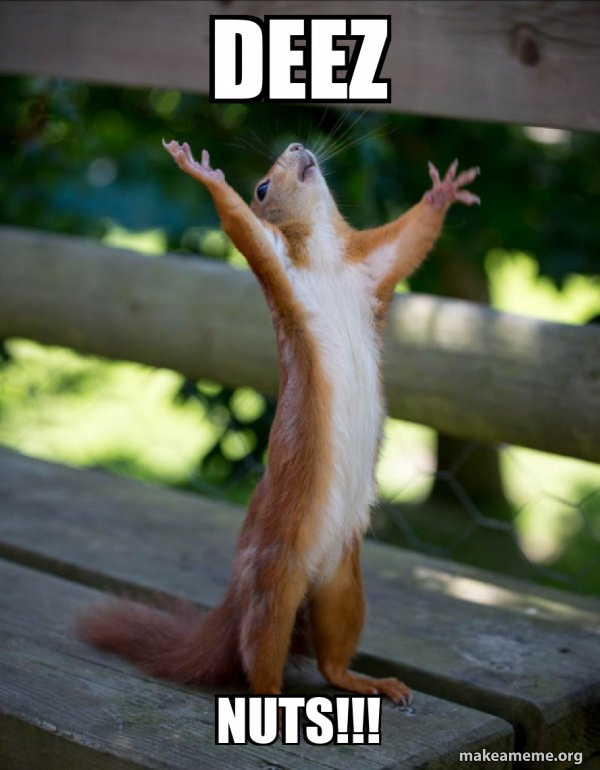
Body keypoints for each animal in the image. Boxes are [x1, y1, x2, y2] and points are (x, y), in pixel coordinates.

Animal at [77, 138, 479, 707]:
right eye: (262, 187)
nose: (296, 146)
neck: (327, 259)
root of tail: (238, 595)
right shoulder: (277, 264)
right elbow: (240, 226)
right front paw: (203, 173)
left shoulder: (372, 267)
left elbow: (410, 240)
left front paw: (442, 192)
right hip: (274, 584)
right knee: (259, 660)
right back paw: (280, 704)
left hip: (344, 585)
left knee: (332, 659)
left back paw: (367, 680)